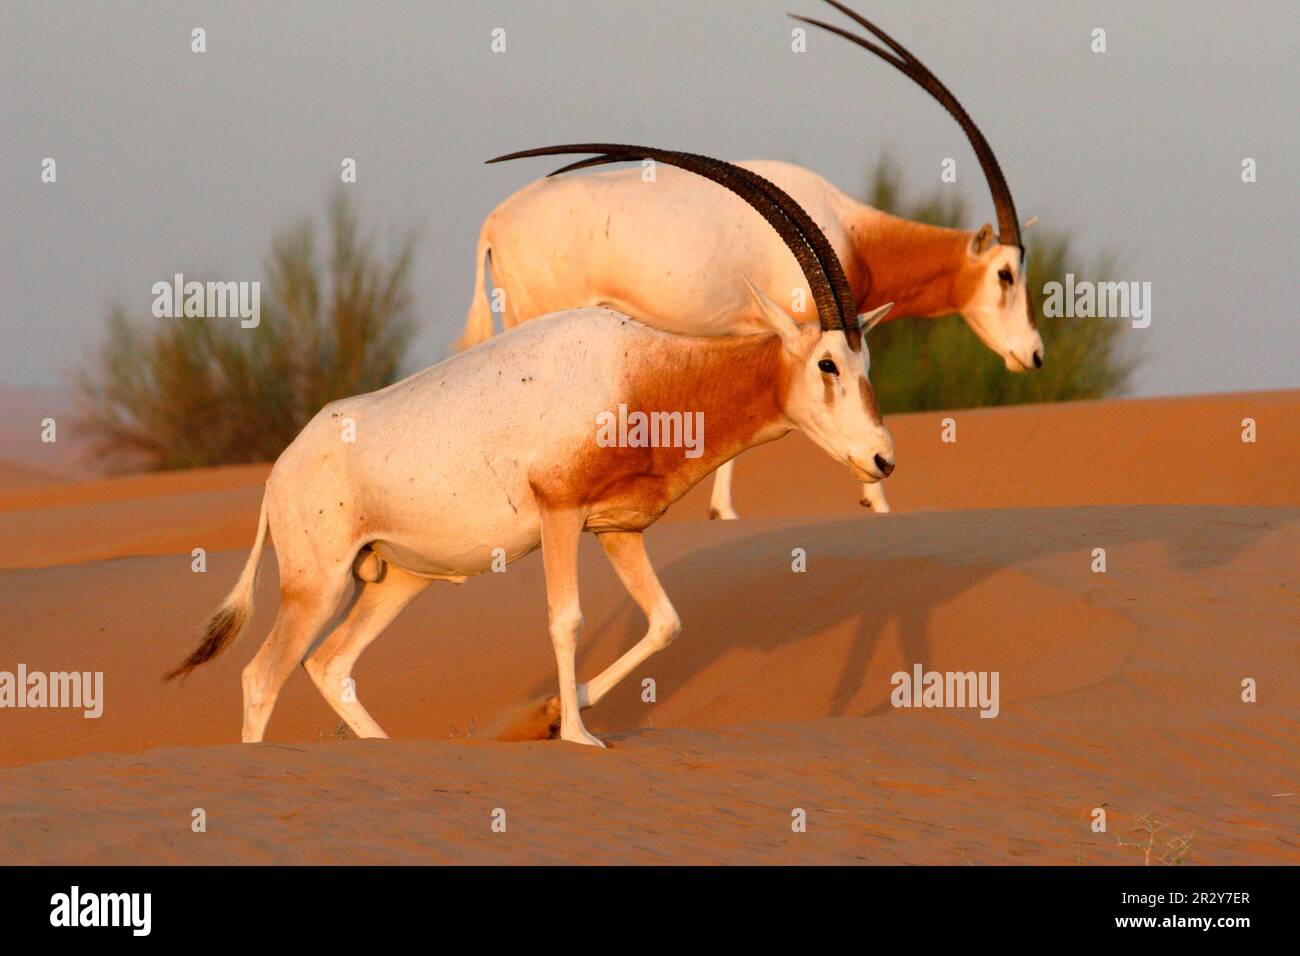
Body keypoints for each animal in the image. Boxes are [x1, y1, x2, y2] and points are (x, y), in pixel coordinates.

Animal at [164, 148, 896, 749]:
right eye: (828, 364)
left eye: (865, 363)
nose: (883, 458)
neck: (644, 374)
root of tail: (281, 471)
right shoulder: (559, 514)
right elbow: (565, 618)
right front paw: (575, 735)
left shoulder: (617, 529)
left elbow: (665, 622)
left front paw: (550, 715)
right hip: (315, 584)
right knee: (263, 677)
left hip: (394, 578)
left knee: (330, 664)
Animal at [460, 0, 1040, 517]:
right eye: (1006, 274)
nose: (1034, 355)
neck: (849, 228)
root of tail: (493, 220)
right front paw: (874, 503)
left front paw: (722, 511)